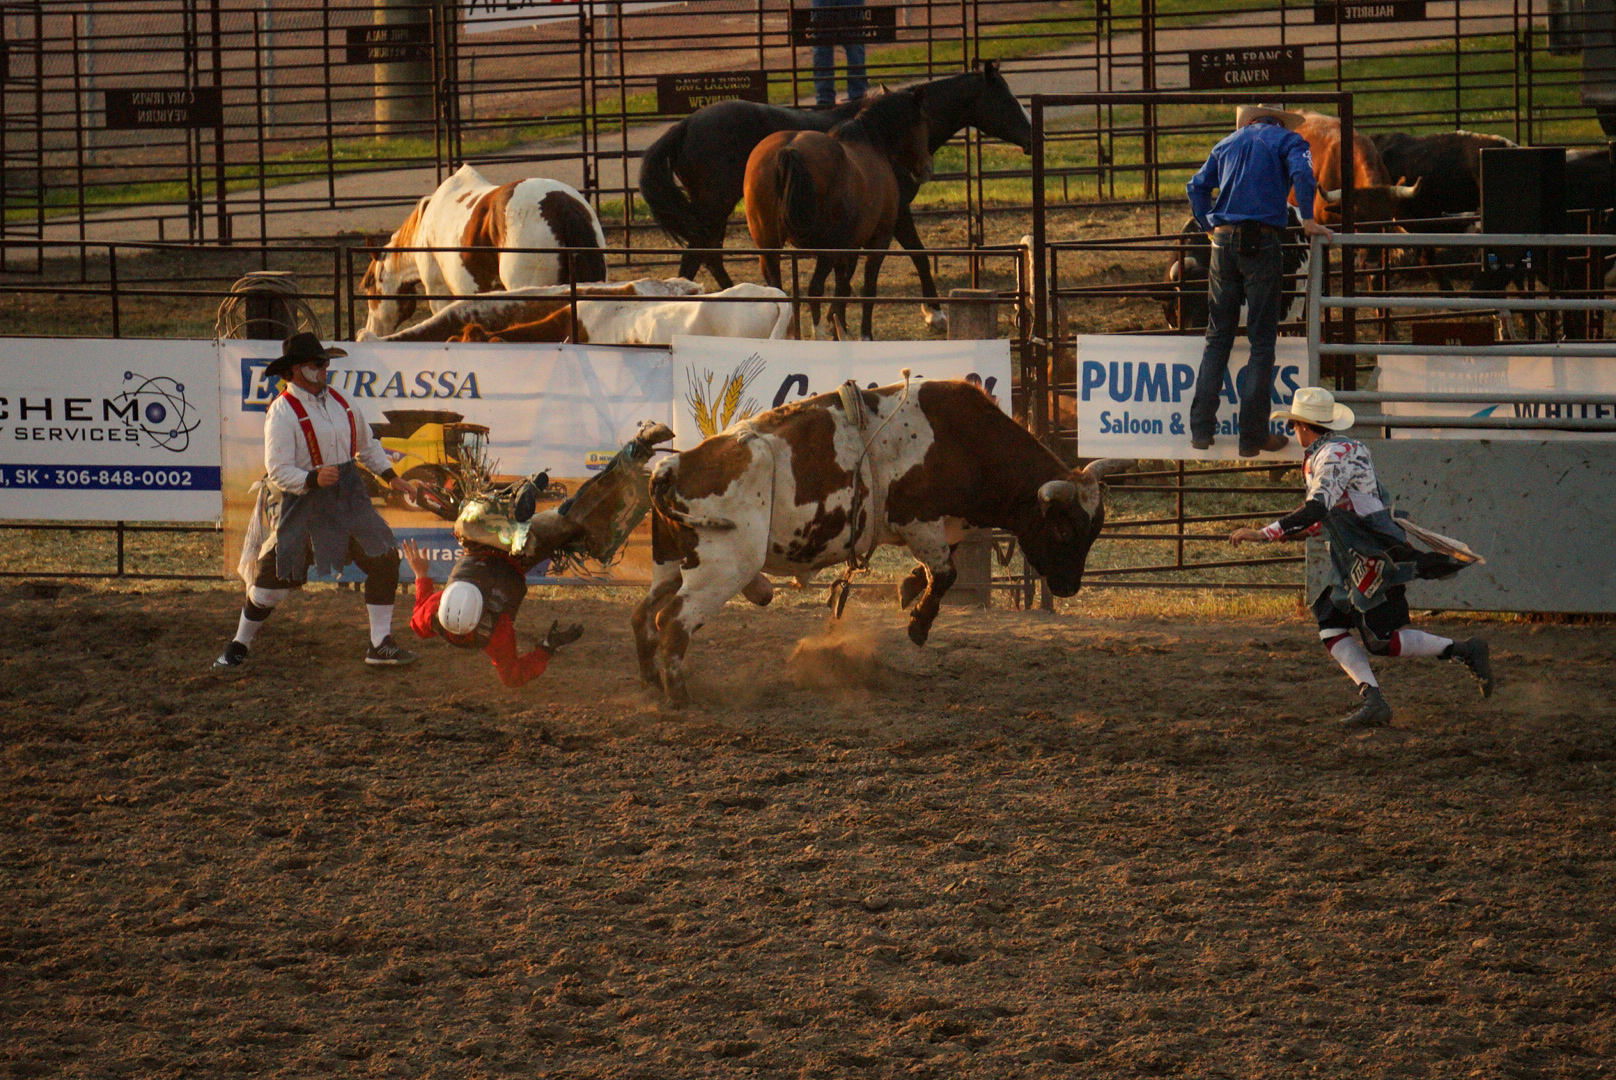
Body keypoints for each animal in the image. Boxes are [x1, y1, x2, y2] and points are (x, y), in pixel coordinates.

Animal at [631, 377, 1124, 707]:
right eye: (1063, 529)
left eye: (1094, 529)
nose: (1068, 588)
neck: (963, 441)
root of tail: (672, 468)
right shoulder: (917, 519)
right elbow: (946, 572)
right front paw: (918, 625)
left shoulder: (944, 524)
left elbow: (941, 564)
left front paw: (908, 588)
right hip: (723, 568)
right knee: (672, 621)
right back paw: (680, 696)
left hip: (671, 562)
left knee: (643, 614)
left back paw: (652, 682)